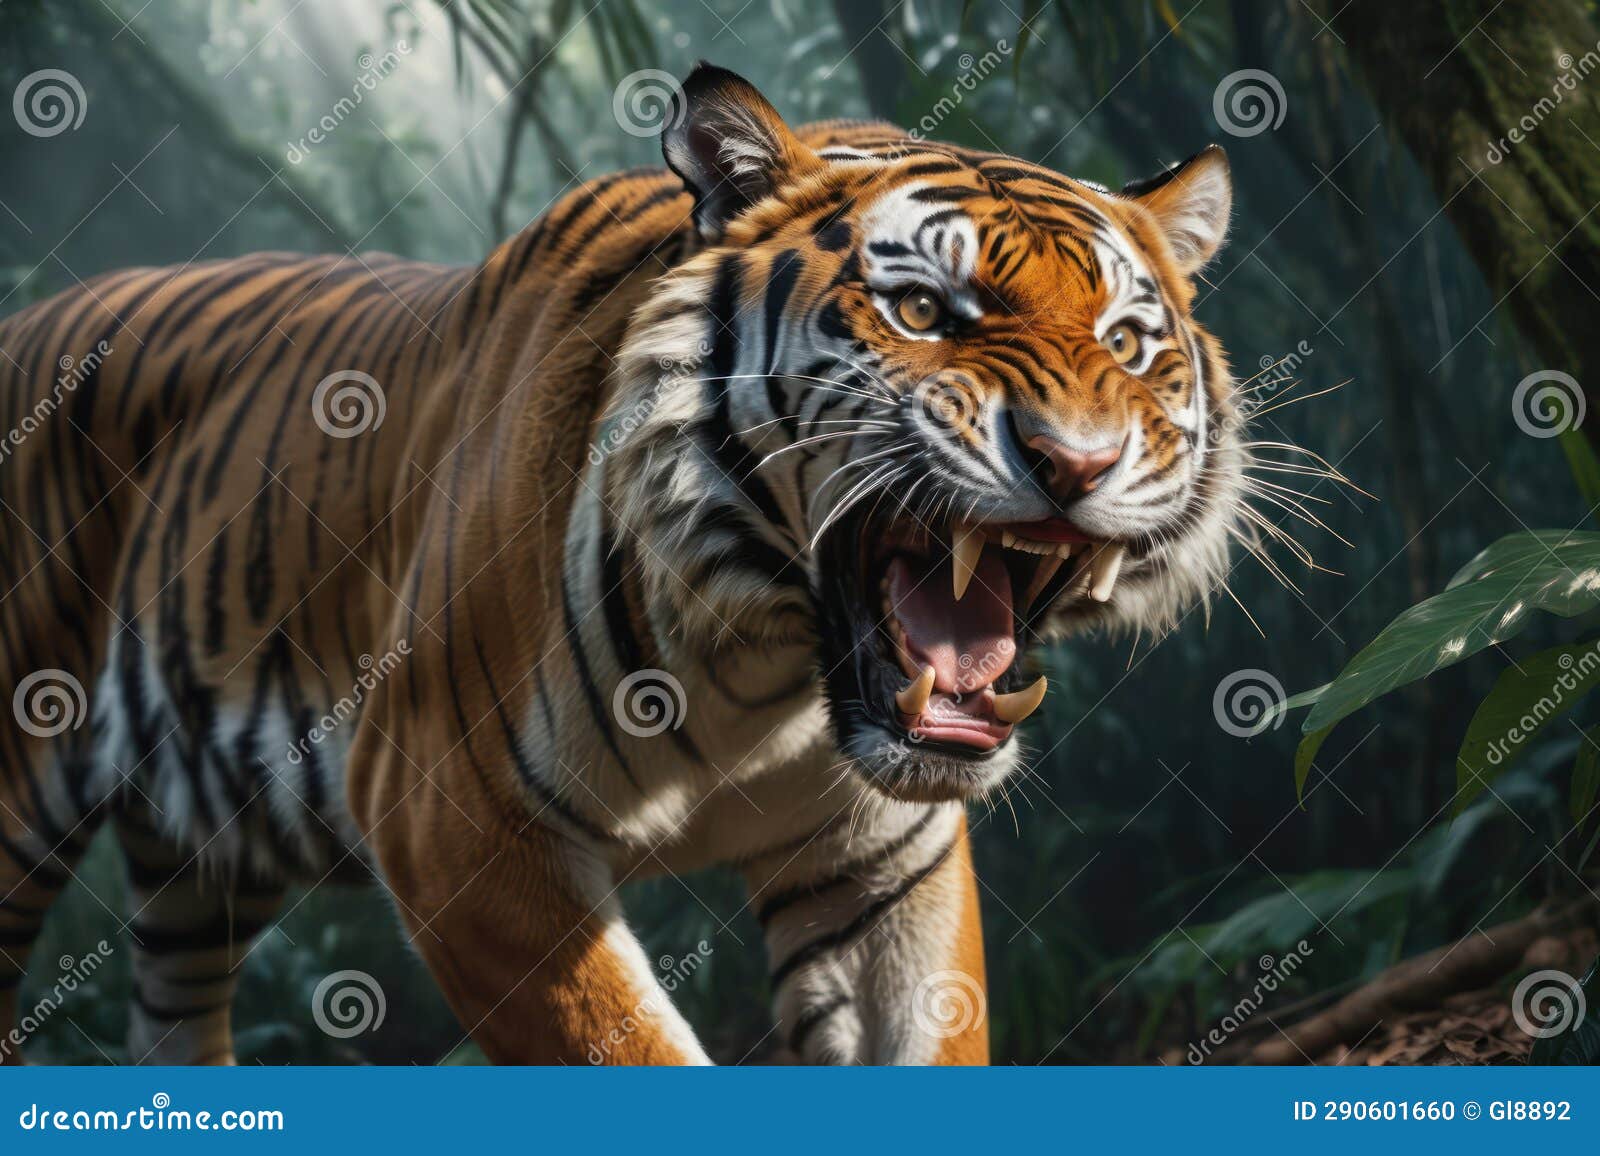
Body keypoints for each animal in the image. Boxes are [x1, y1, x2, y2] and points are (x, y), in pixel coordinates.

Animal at [0, 63, 1241, 1065]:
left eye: (1128, 342)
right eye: (924, 310)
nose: (1075, 462)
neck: (766, 667)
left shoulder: (884, 863)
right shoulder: (449, 821)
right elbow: (630, 1045)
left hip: (197, 870)